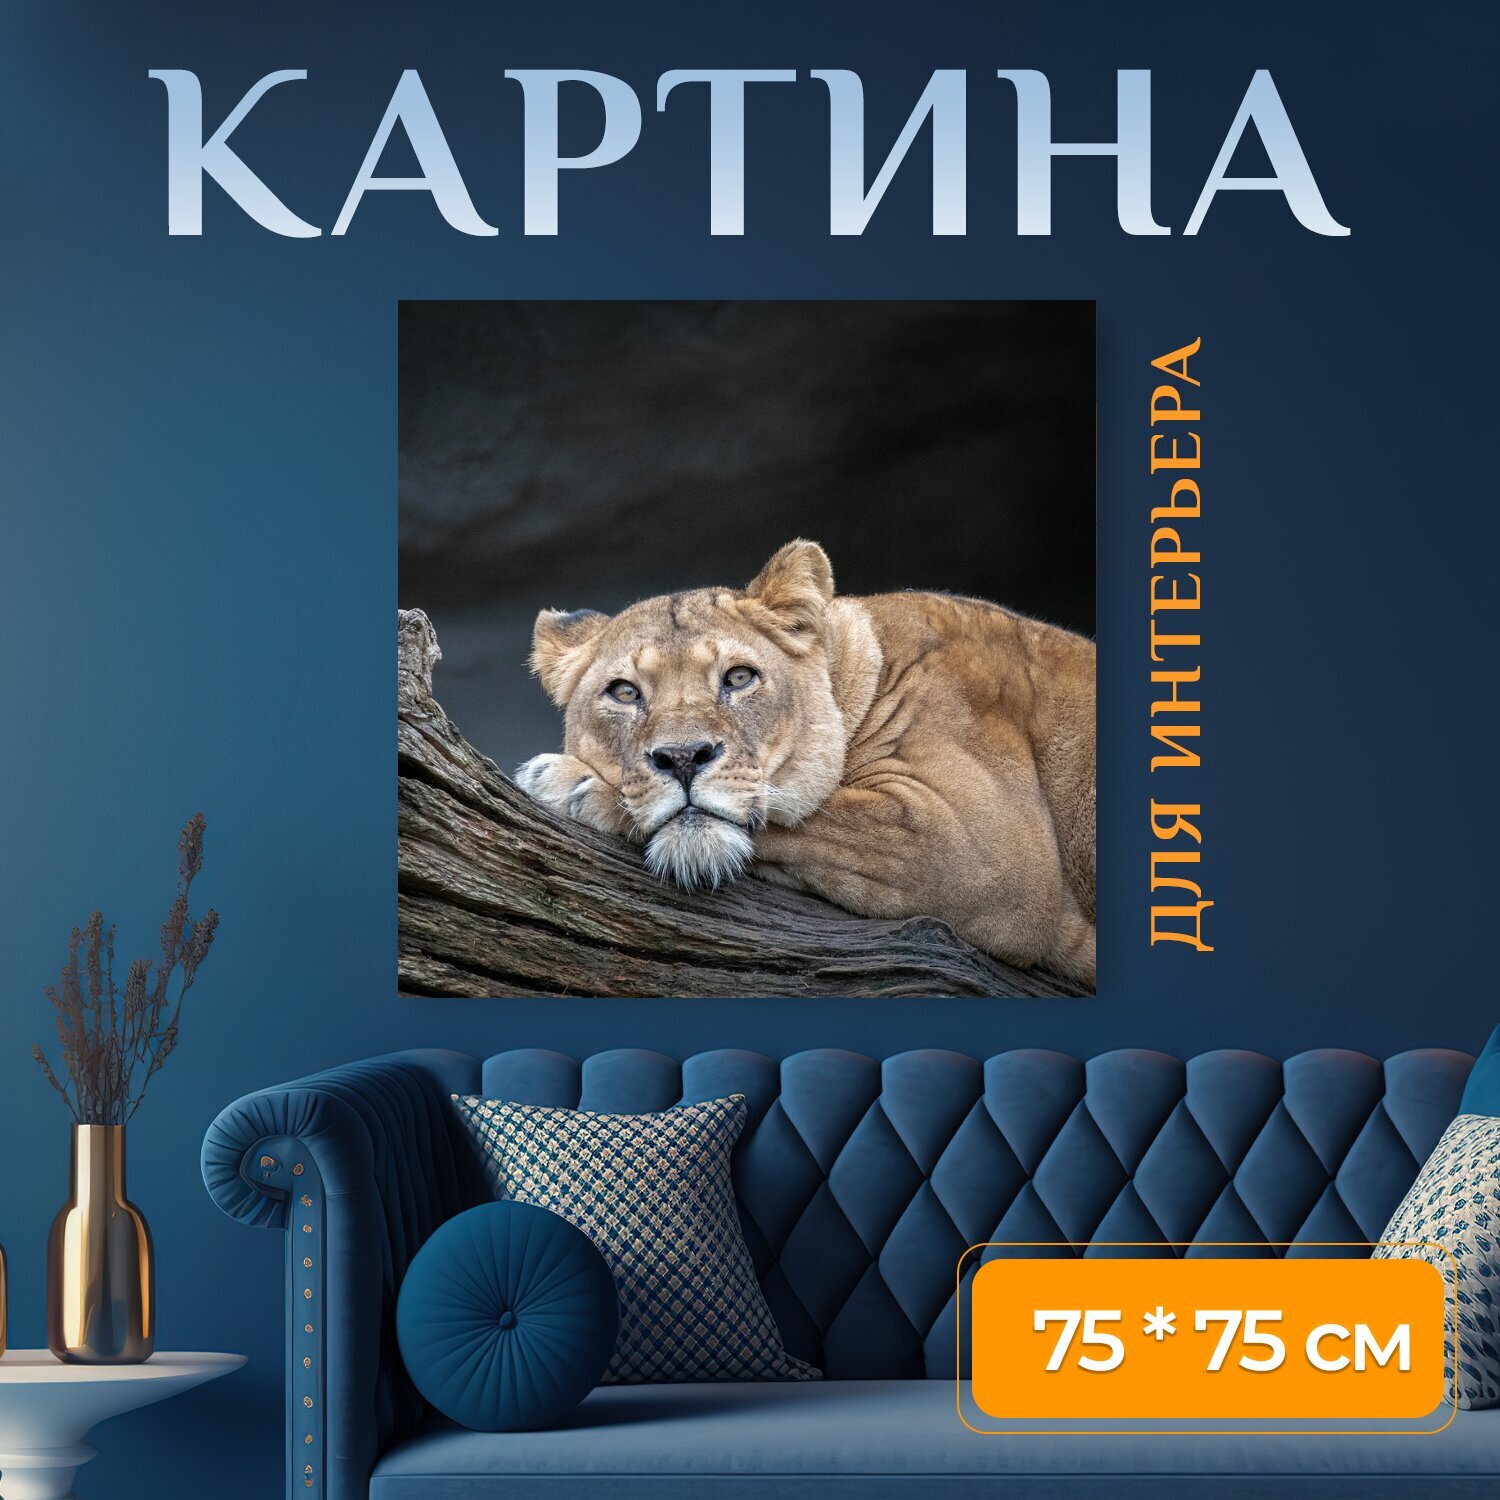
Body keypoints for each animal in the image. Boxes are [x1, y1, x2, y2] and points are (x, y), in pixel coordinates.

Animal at [515, 540, 1095, 985]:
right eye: (625, 692)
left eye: (739, 678)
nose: (682, 758)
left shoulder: (982, 844)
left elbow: (811, 814)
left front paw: (568, 782)